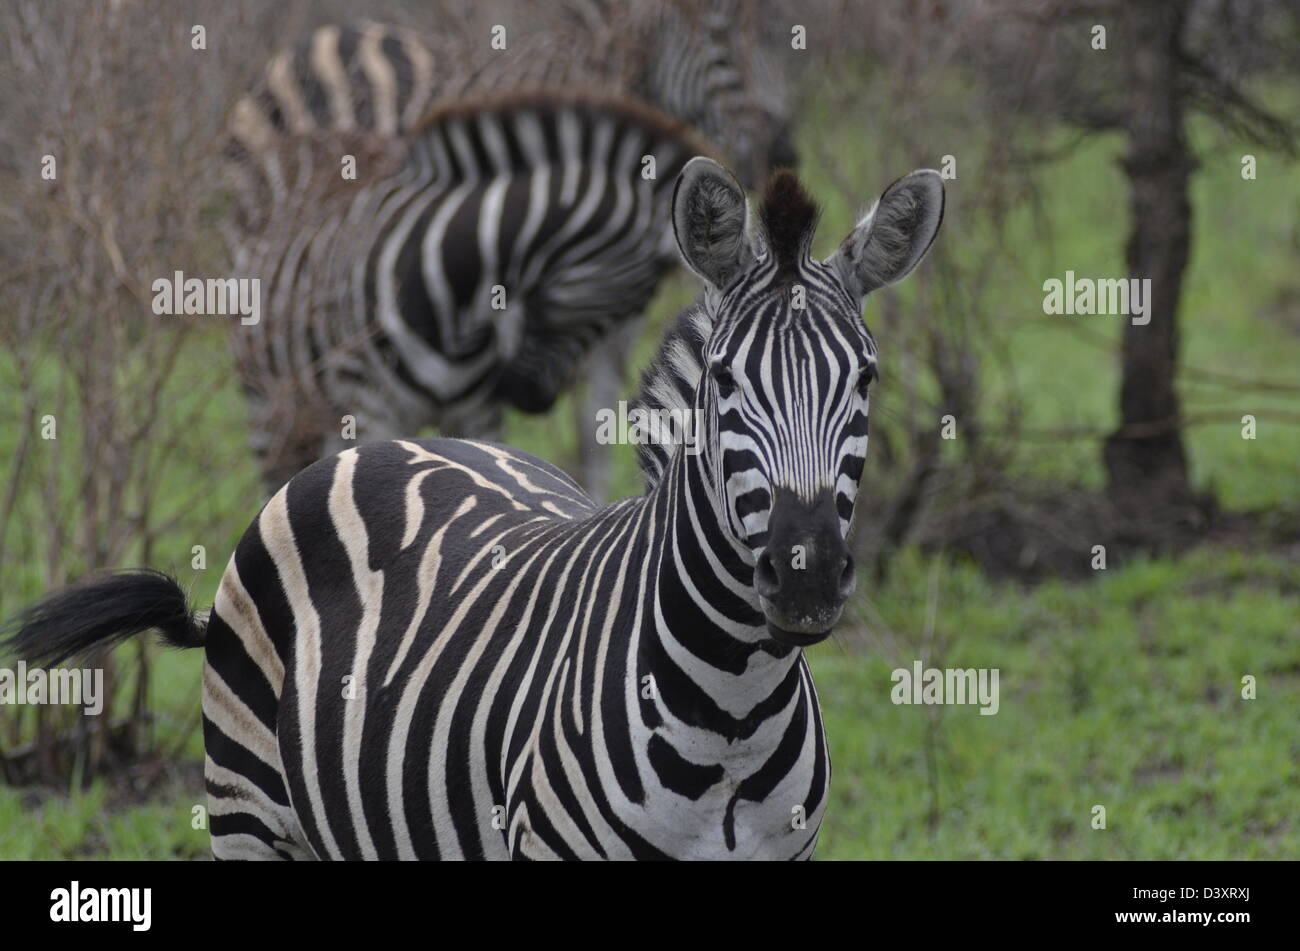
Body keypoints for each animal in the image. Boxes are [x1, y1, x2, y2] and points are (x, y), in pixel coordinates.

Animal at [5, 159, 944, 859]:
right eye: (723, 380)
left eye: (867, 378)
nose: (806, 573)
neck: (732, 711)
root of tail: (374, 447)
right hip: (248, 811)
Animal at [232, 90, 711, 491]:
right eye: (640, 298)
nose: (529, 397)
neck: (456, 309)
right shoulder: (372, 414)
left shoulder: (478, 416)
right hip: (269, 407)